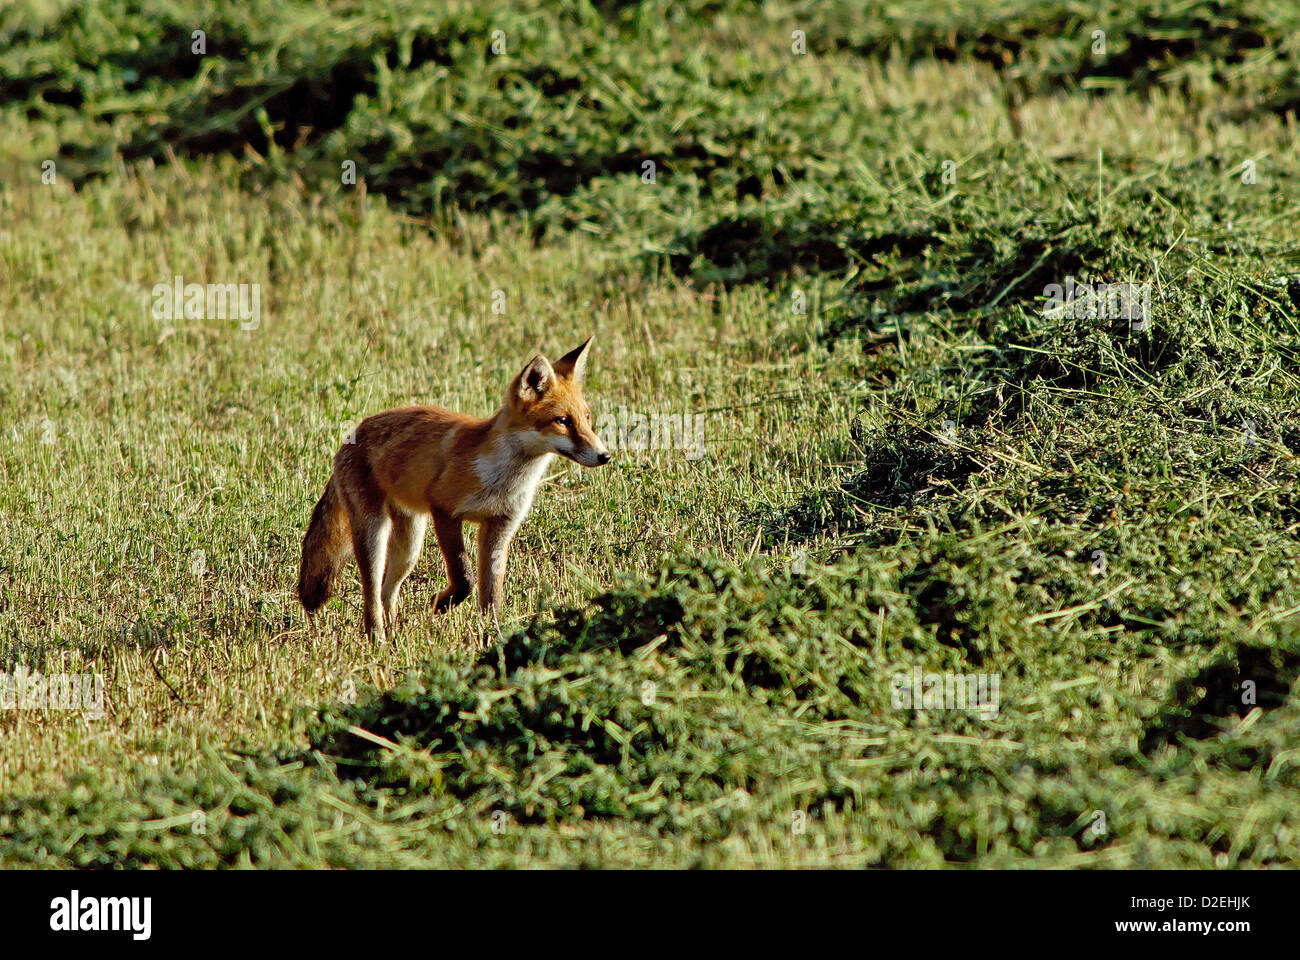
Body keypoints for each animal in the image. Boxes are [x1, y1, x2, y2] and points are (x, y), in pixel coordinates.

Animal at [297, 337, 611, 640]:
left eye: (586, 417)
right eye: (562, 421)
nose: (605, 456)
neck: (502, 478)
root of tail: (351, 436)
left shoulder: (499, 527)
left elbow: (492, 595)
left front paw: (492, 636)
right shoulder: (444, 511)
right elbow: (464, 576)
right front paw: (443, 603)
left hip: (410, 544)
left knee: (388, 591)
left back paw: (395, 635)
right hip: (374, 533)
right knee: (372, 593)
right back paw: (377, 638)